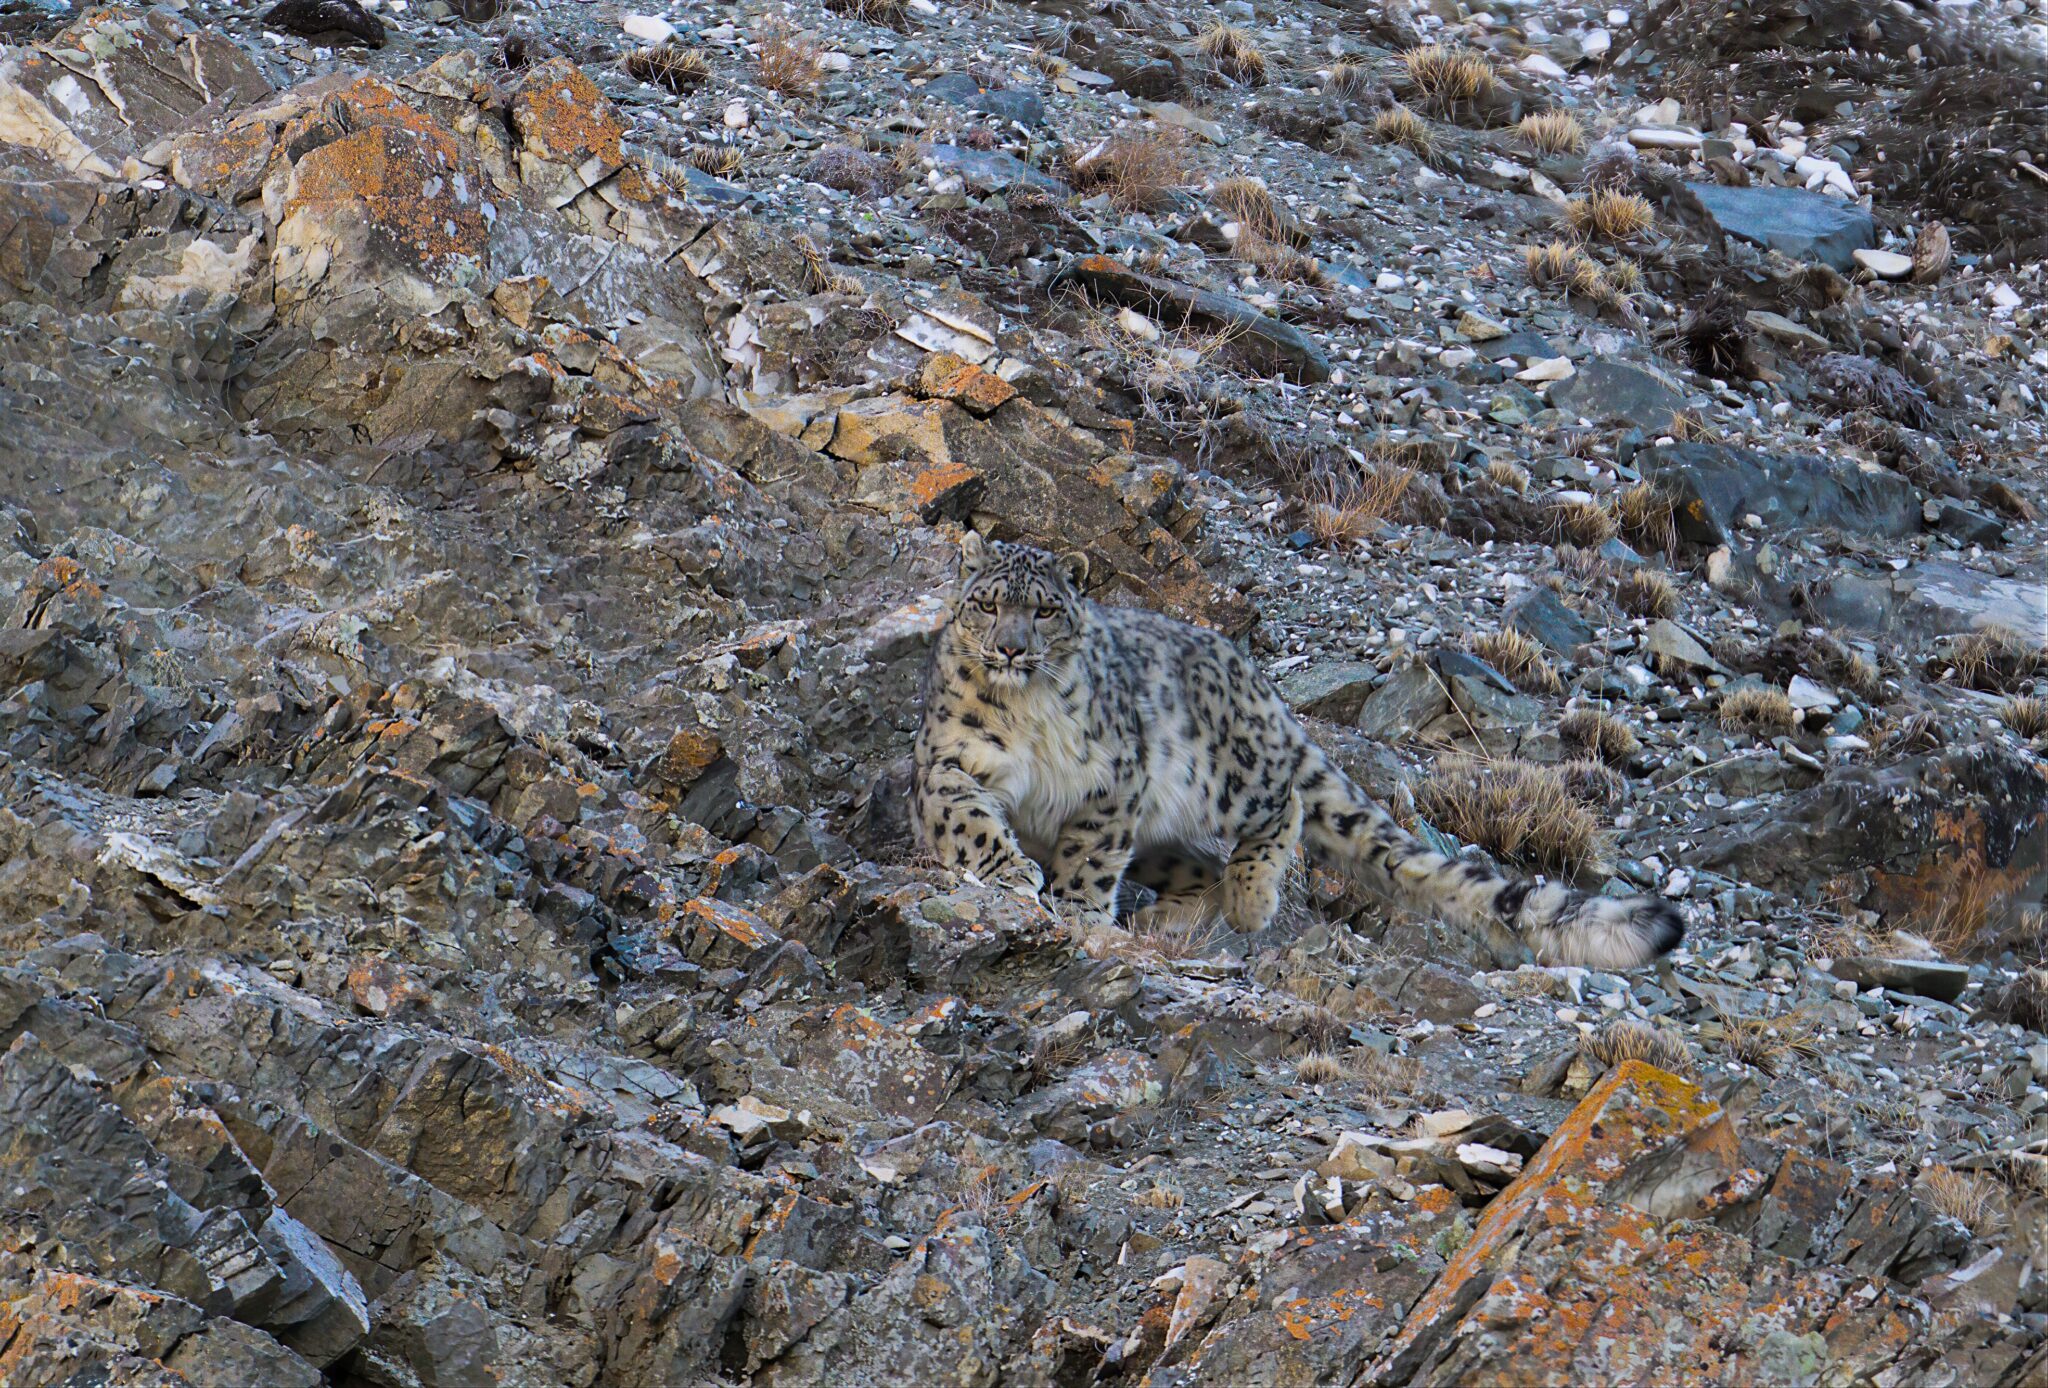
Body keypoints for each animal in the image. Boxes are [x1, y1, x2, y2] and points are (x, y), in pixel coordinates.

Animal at [910, 534, 1685, 970]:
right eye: (988, 603)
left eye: (1044, 609)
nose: (1012, 648)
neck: (1026, 716)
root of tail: (1259, 681)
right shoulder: (949, 761)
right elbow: (966, 819)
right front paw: (1012, 871)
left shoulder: (1111, 782)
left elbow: (1091, 855)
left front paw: (1074, 908)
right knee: (1198, 865)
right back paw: (1173, 915)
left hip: (1221, 777)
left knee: (1281, 806)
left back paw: (1249, 902)